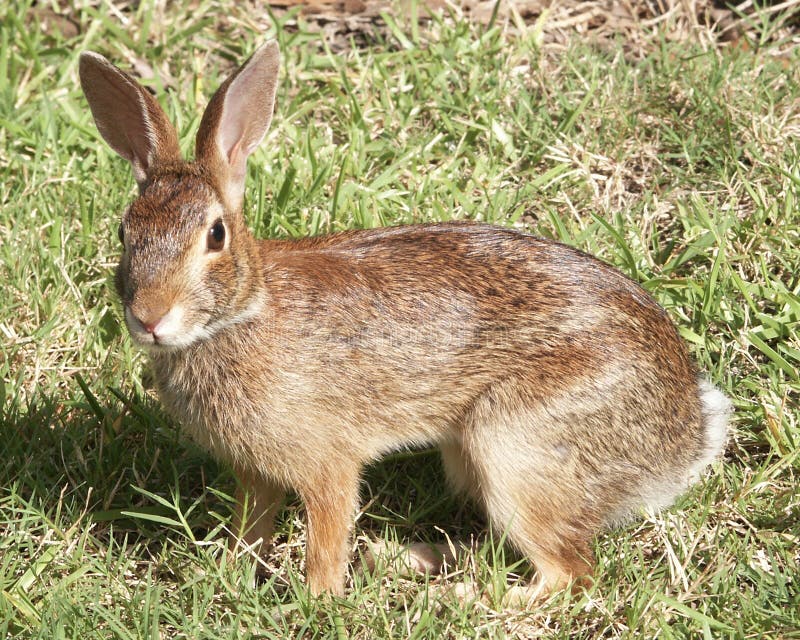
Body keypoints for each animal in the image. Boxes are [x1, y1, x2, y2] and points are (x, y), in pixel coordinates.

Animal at [78, 40, 731, 599]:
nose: (149, 318)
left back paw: (462, 598)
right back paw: (405, 559)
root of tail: (684, 437)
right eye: (125, 233)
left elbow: (326, 533)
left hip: (516, 447)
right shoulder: (255, 472)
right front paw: (234, 568)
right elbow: (253, 523)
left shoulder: (328, 463)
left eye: (215, 236)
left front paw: (316, 600)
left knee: (568, 573)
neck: (242, 309)